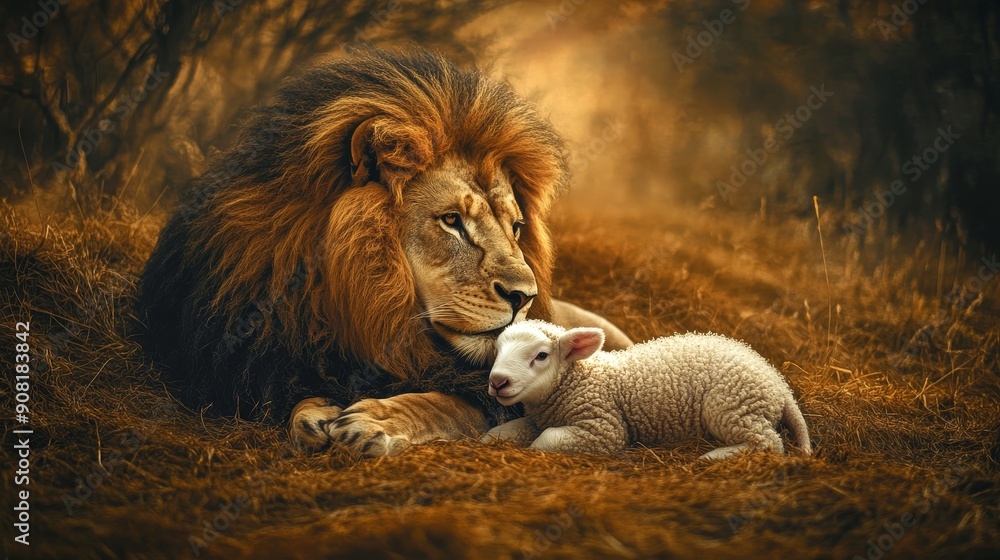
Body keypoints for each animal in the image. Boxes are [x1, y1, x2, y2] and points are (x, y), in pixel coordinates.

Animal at [135, 48, 632, 456]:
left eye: (515, 227)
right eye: (452, 220)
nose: (524, 297)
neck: (362, 310)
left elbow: (445, 402)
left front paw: (376, 419)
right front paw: (313, 415)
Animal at [481, 320, 811, 460]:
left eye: (541, 356)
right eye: (497, 350)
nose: (498, 382)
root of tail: (779, 385)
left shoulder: (604, 427)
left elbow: (545, 440)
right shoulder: (540, 417)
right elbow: (500, 433)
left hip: (733, 406)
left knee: (769, 444)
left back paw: (715, 456)